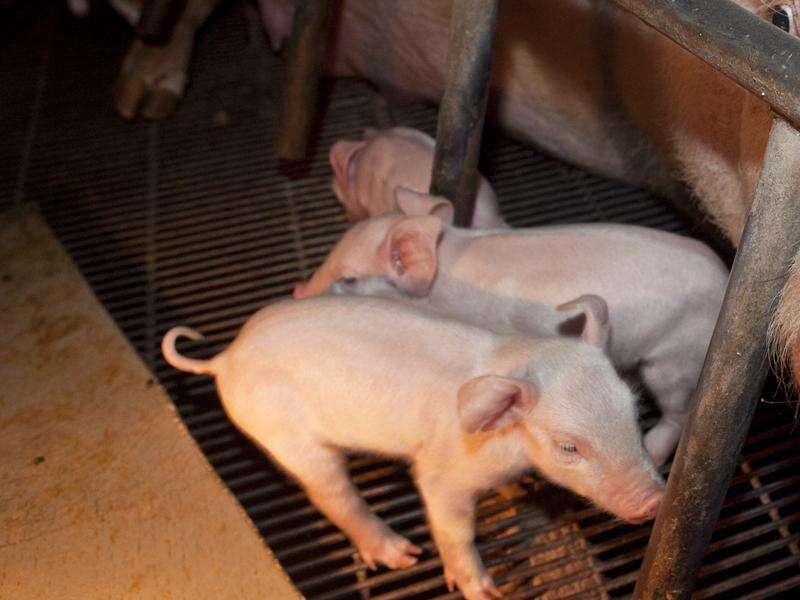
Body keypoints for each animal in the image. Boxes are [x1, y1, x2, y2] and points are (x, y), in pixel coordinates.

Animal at [162, 294, 664, 600]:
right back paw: (401, 555)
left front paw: (518, 491)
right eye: (568, 447)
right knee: (330, 495)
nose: (655, 500)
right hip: (289, 436)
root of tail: (224, 358)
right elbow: (451, 525)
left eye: (634, 409)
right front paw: (485, 591)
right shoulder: (442, 471)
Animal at [295, 189, 730, 467]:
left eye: (349, 278)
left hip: (675, 361)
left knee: (678, 411)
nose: (298, 292)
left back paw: (653, 450)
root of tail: (723, 279)